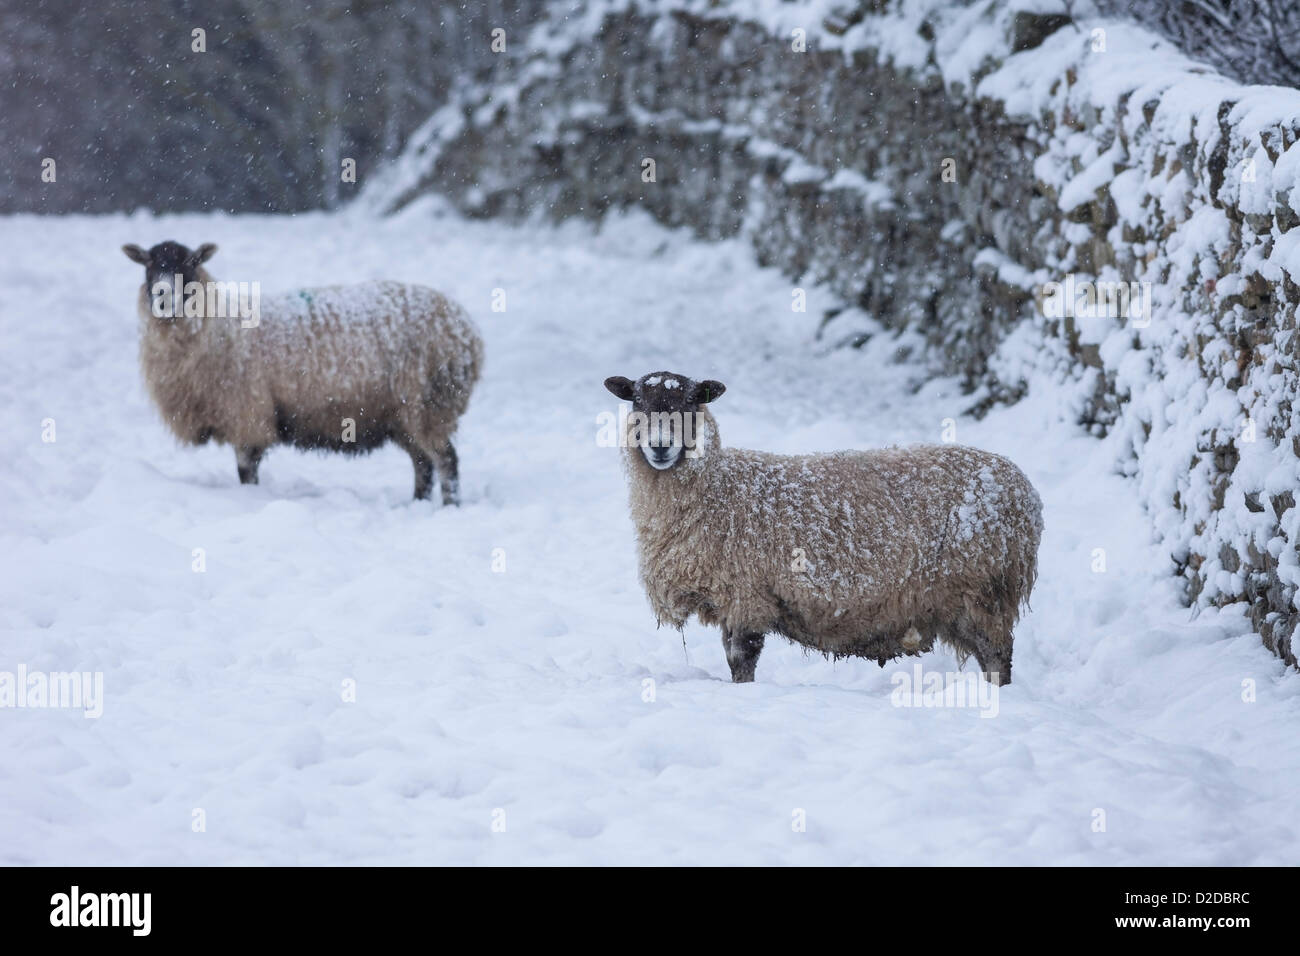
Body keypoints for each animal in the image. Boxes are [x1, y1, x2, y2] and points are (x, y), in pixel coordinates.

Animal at [122, 240, 482, 503]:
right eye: (149, 266)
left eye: (190, 264)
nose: (163, 297)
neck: (219, 327)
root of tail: (466, 329)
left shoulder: (247, 413)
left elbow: (246, 471)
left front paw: (249, 501)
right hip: (403, 414)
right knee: (422, 463)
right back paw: (417, 503)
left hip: (430, 403)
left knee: (446, 461)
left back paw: (449, 507)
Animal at [603, 371, 1043, 685]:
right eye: (638, 402)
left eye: (691, 403)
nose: (661, 446)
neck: (718, 489)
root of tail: (1025, 492)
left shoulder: (747, 595)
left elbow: (741, 660)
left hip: (984, 589)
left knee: (998, 658)